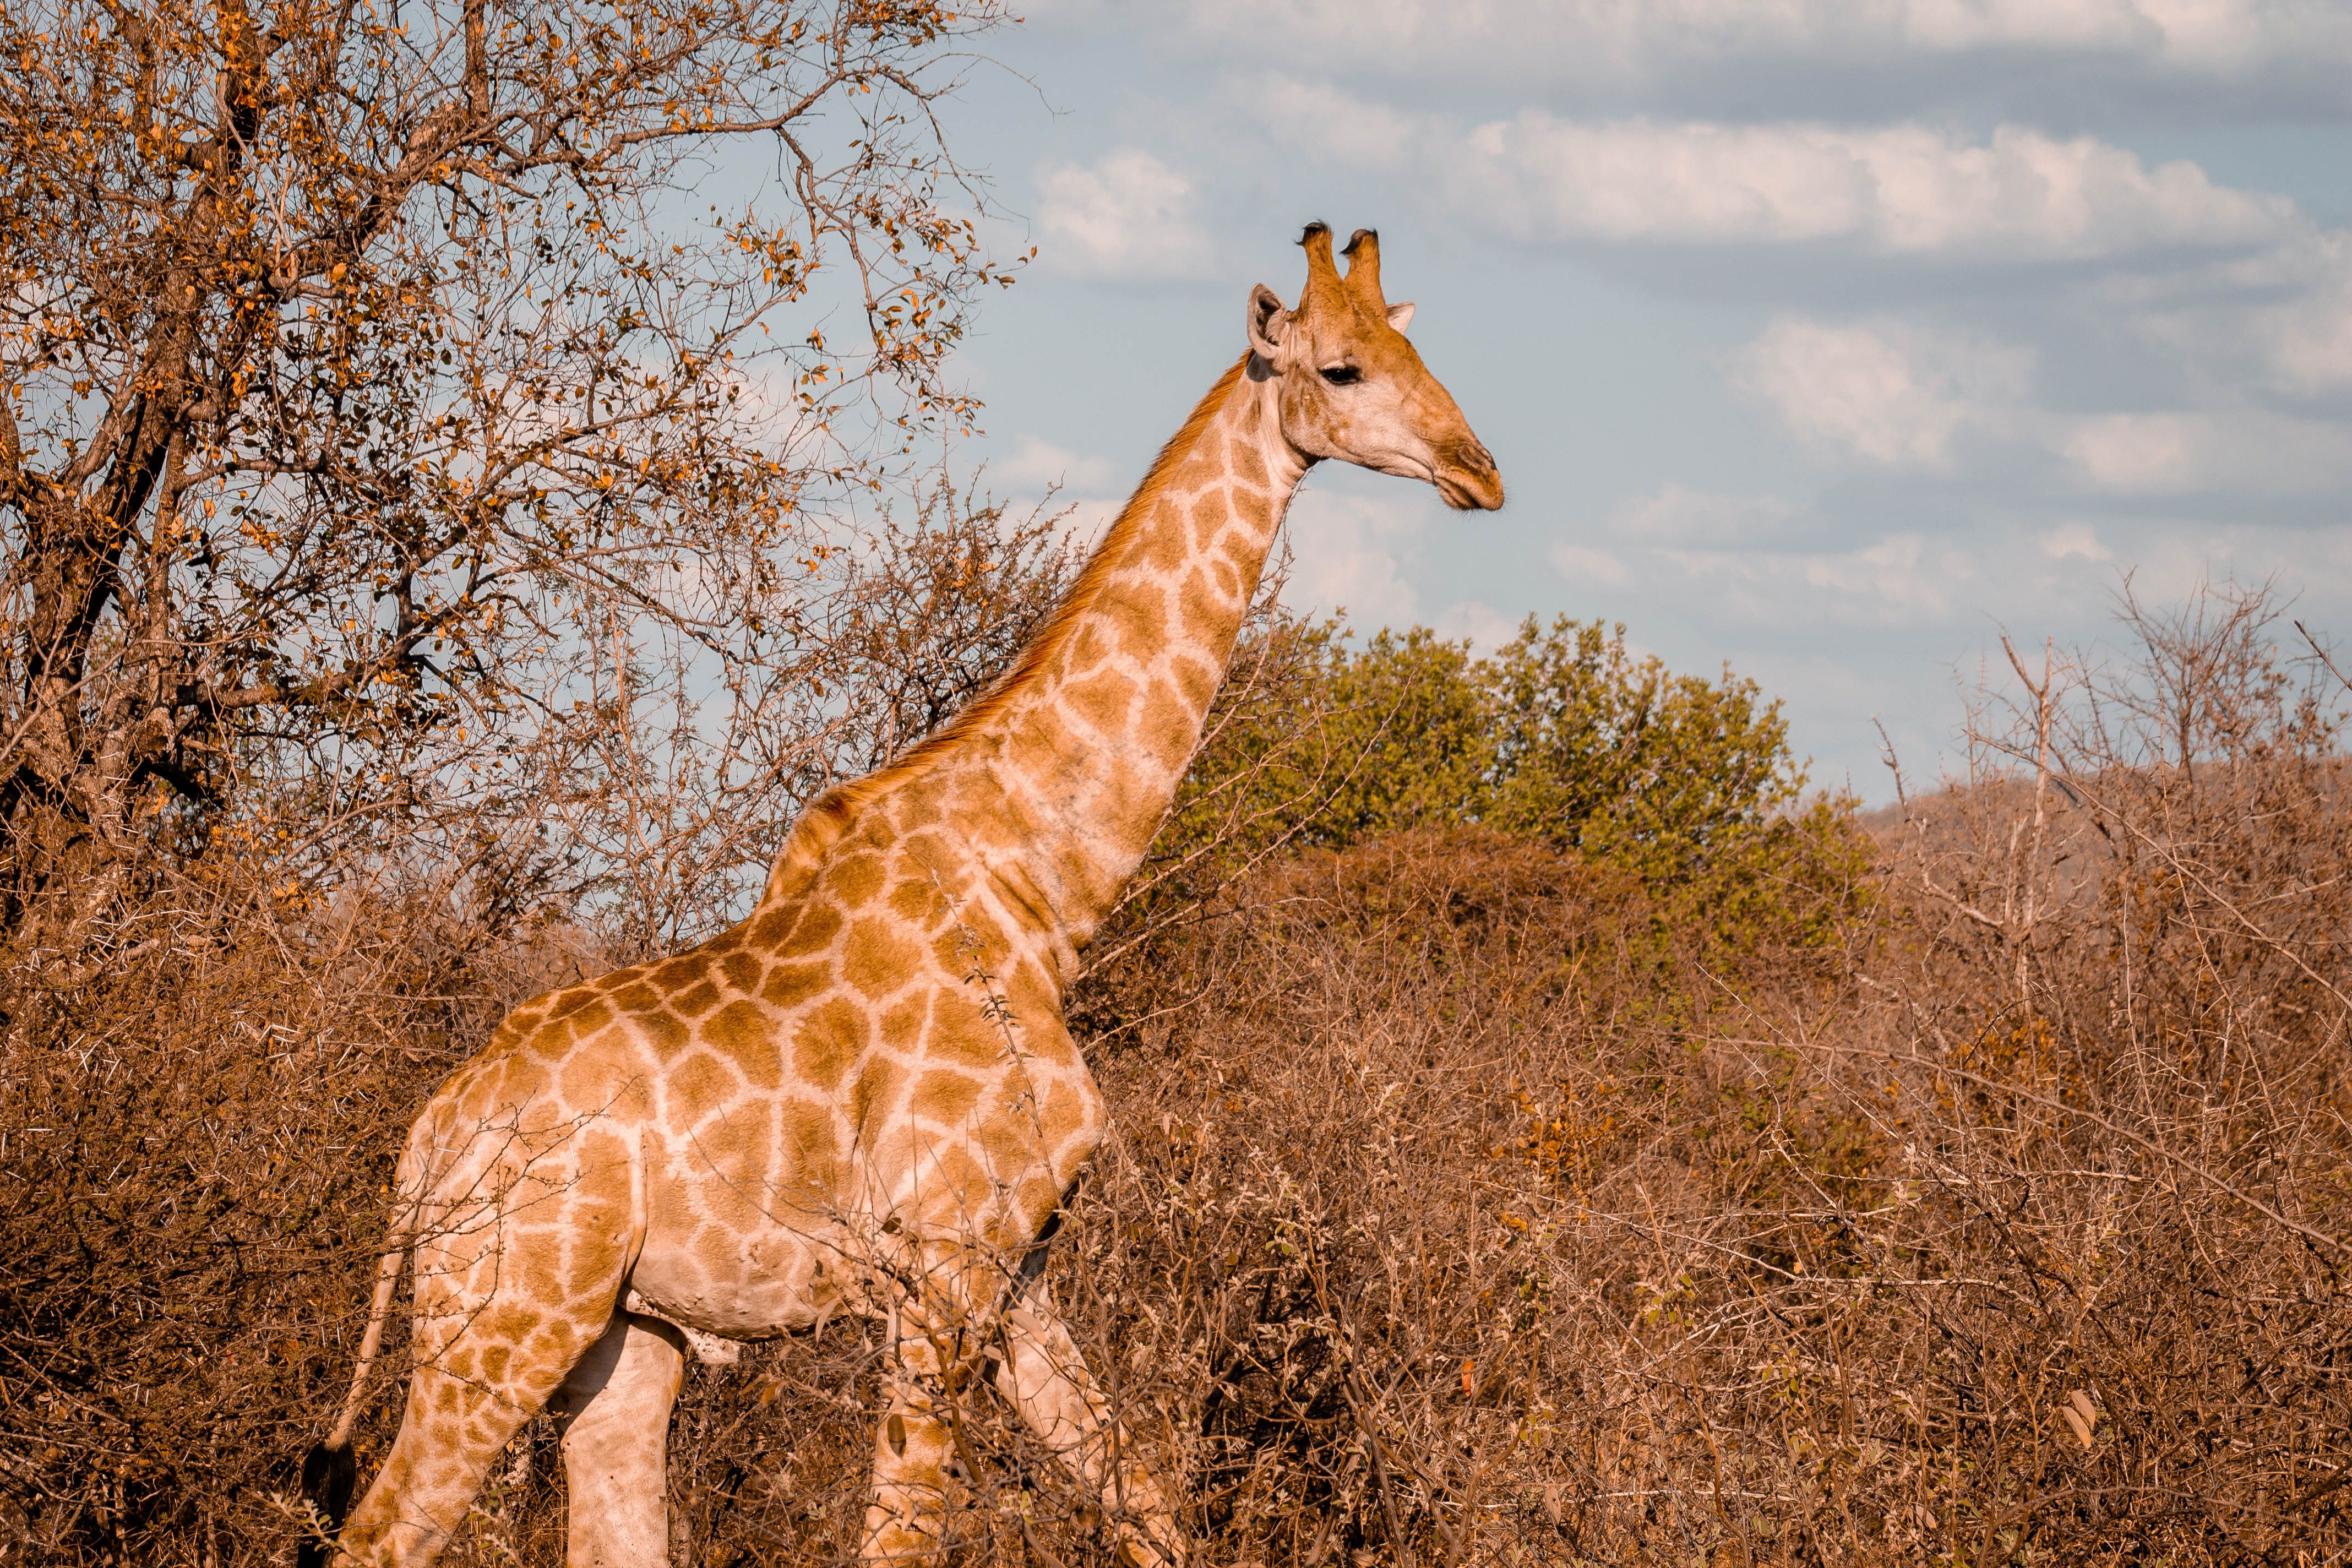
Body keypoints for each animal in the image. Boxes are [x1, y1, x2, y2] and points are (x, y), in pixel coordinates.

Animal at [301, 222, 1503, 1568]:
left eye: (1419, 349)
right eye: (1343, 368)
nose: (1480, 470)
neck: (1041, 883)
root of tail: (429, 1136)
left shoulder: (1019, 1268)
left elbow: (1143, 1502)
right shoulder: (943, 1262)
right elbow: (903, 1535)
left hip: (621, 1333)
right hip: (507, 1307)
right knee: (383, 1530)